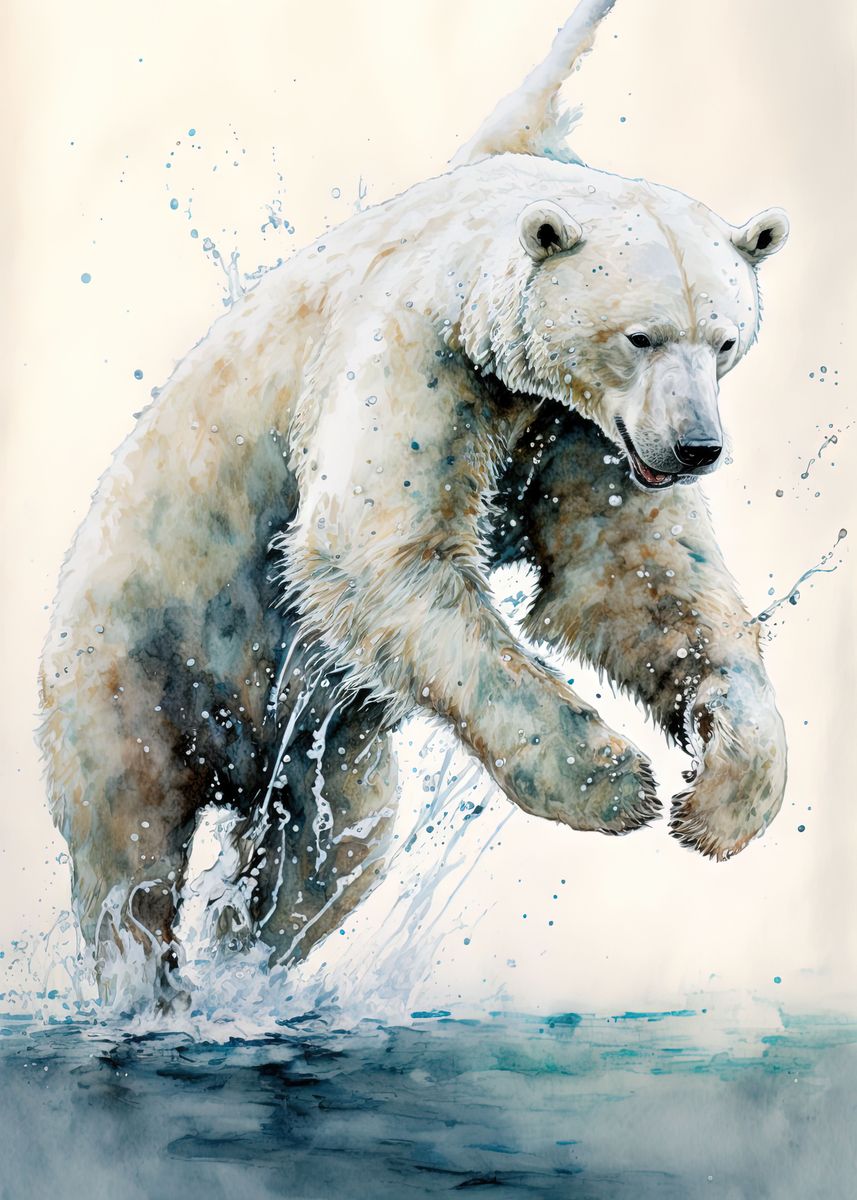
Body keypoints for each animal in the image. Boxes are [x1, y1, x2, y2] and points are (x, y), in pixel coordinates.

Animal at [38, 0, 789, 1003]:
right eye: (641, 336)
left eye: (725, 338)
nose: (695, 447)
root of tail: (235, 753)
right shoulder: (416, 353)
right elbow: (375, 554)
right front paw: (612, 782)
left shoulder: (574, 433)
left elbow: (633, 578)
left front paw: (724, 791)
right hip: (131, 664)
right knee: (129, 844)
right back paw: (150, 988)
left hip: (328, 752)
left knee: (325, 860)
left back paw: (245, 962)